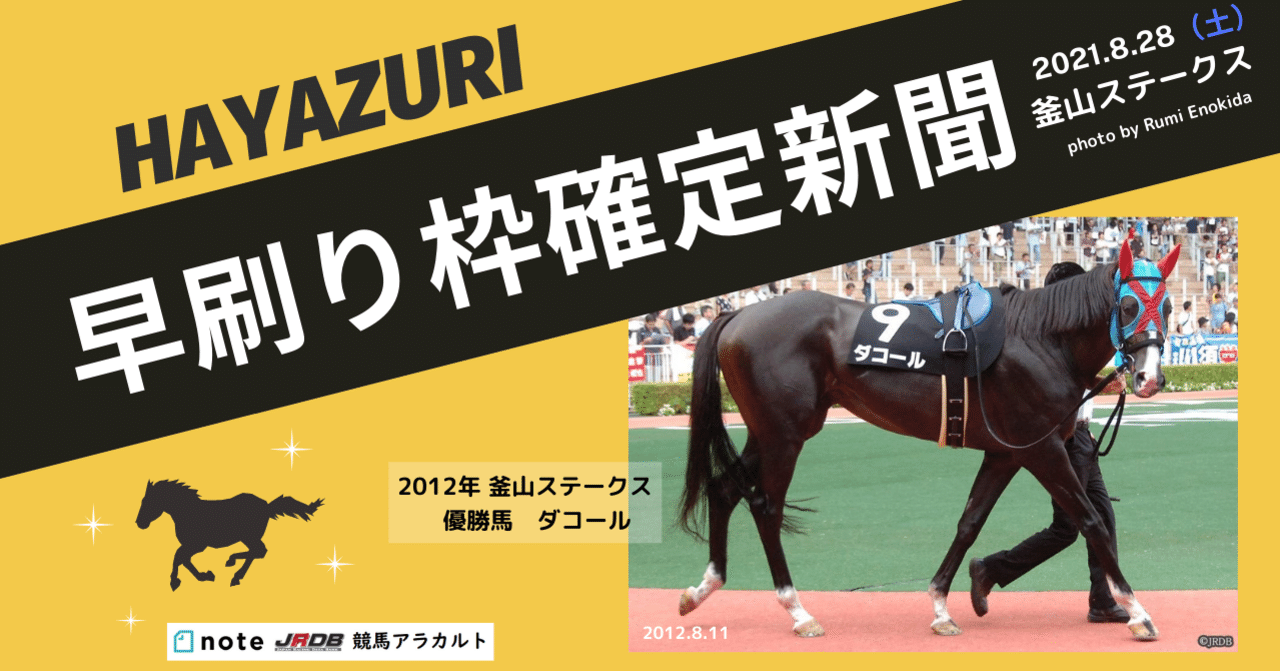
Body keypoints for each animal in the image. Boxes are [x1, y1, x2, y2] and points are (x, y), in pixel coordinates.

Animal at [135, 480, 324, 590]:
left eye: (148, 501)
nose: (139, 523)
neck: (188, 512)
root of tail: (267, 506)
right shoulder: (191, 546)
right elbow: (182, 559)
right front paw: (204, 576)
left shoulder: (197, 545)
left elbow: (179, 557)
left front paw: (176, 581)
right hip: (248, 538)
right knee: (259, 552)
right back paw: (231, 561)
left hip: (249, 537)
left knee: (257, 551)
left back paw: (235, 576)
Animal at [676, 239, 1178, 641]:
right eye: (1129, 306)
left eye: (1169, 306)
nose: (1150, 379)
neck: (1041, 339)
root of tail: (739, 314)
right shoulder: (1042, 448)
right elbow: (1092, 521)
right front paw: (1138, 612)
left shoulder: (1005, 452)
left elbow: (969, 522)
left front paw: (942, 605)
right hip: (785, 434)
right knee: (766, 507)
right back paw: (798, 611)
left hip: (770, 431)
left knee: (723, 488)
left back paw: (701, 589)